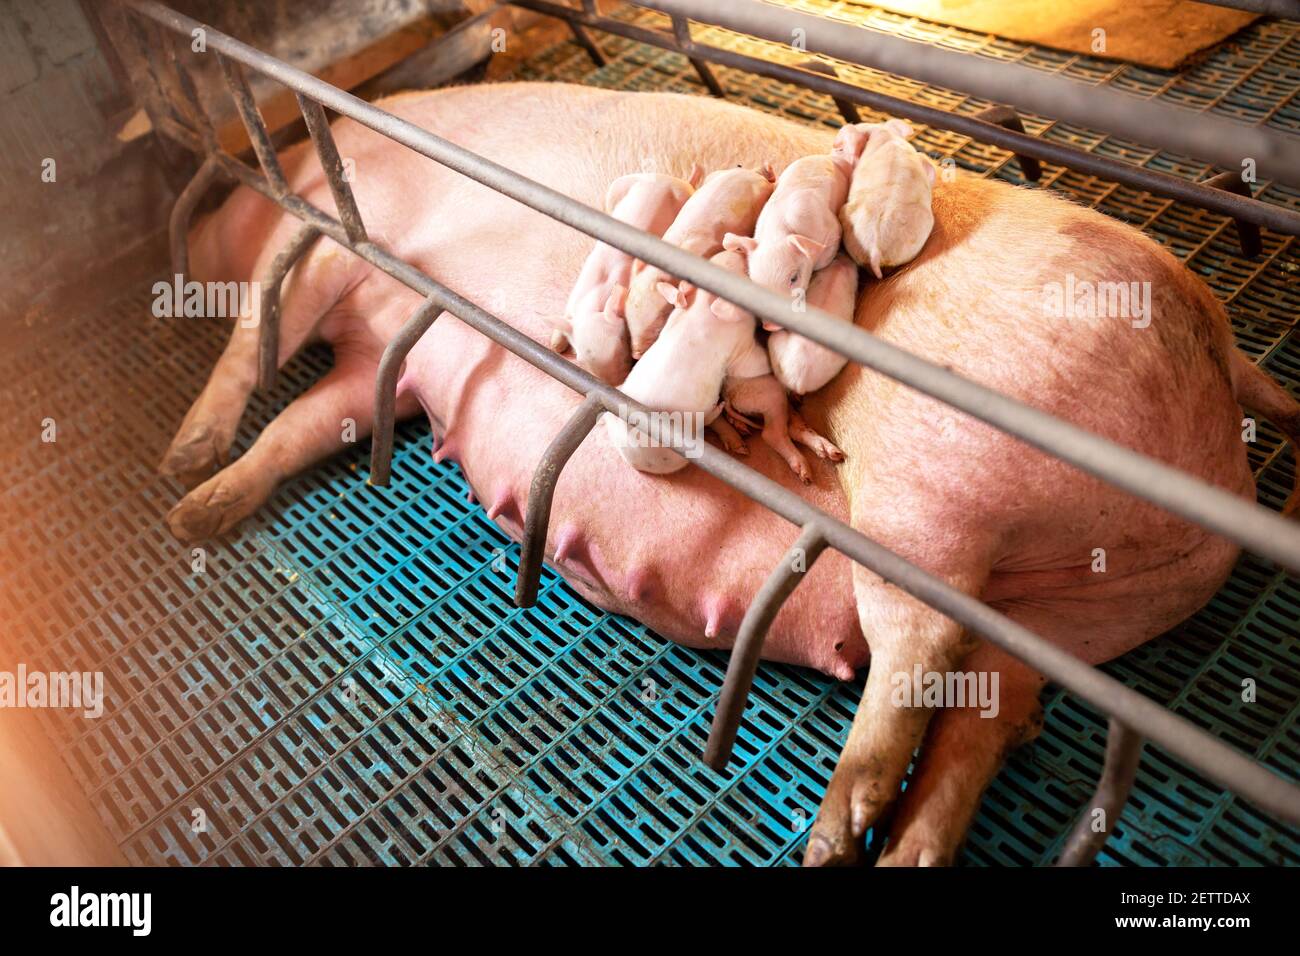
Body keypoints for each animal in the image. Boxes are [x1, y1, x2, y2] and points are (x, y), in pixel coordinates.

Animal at [551, 170, 698, 384]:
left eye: (620, 345)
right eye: (580, 359)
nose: (615, 384)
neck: (595, 301)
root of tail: (668, 179)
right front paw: (555, 346)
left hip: (683, 195)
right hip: (619, 187)